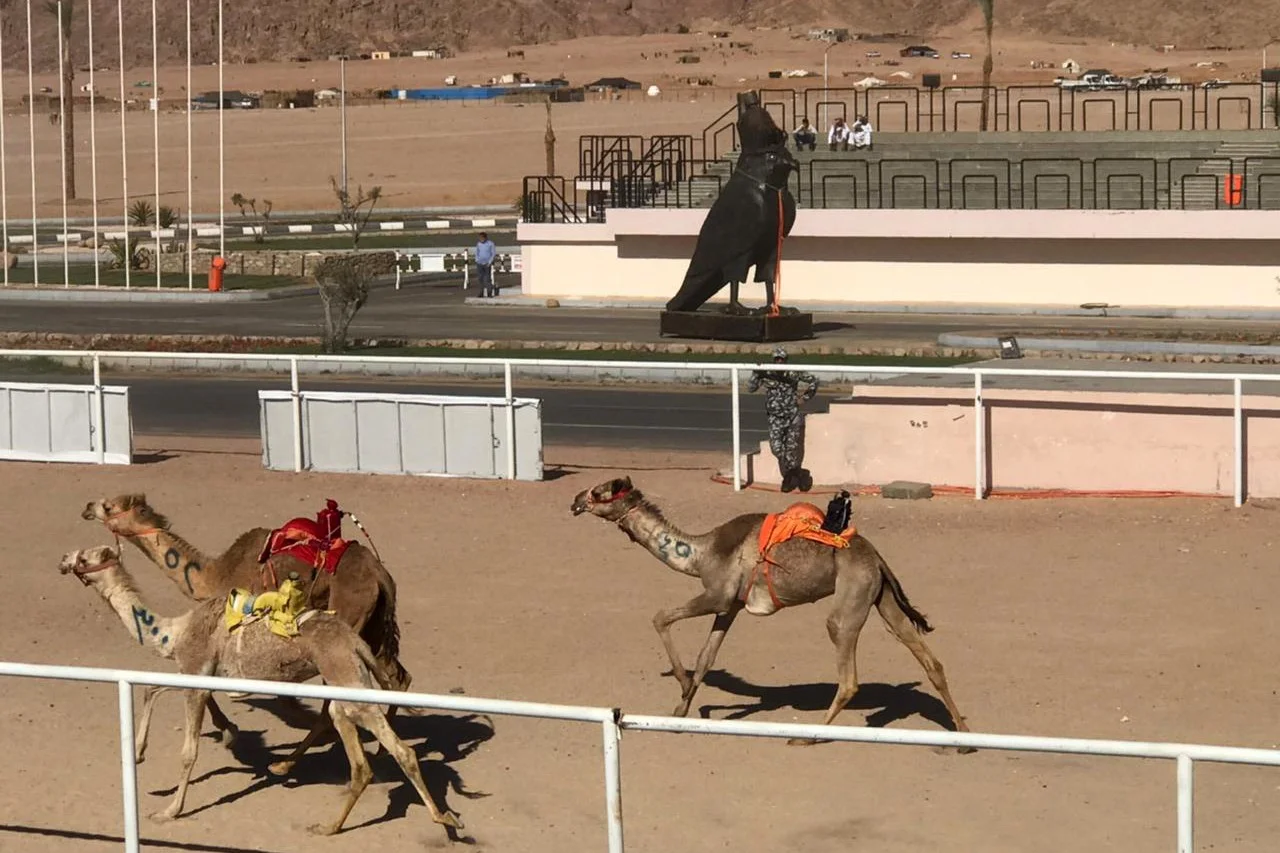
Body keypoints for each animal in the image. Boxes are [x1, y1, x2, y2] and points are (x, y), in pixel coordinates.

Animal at [58, 544, 463, 836]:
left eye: (86, 556)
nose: (62, 560)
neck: (174, 632)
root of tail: (351, 640)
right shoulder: (200, 673)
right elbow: (151, 690)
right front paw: (141, 753)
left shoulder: (195, 669)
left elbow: (188, 751)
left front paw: (170, 810)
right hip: (351, 674)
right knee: (368, 743)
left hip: (345, 674)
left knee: (385, 746)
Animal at [82, 493, 412, 752]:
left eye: (108, 507)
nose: (87, 507)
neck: (215, 575)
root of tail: (379, 573)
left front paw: (230, 730)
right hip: (373, 625)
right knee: (397, 678)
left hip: (349, 615)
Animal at [570, 476, 972, 746]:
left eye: (599, 492)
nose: (574, 501)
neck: (699, 553)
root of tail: (876, 557)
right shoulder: (731, 606)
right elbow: (706, 657)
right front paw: (680, 713)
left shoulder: (717, 594)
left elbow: (660, 616)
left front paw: (681, 686)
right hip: (881, 596)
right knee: (928, 659)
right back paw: (965, 736)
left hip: (852, 594)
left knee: (847, 668)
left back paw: (807, 737)